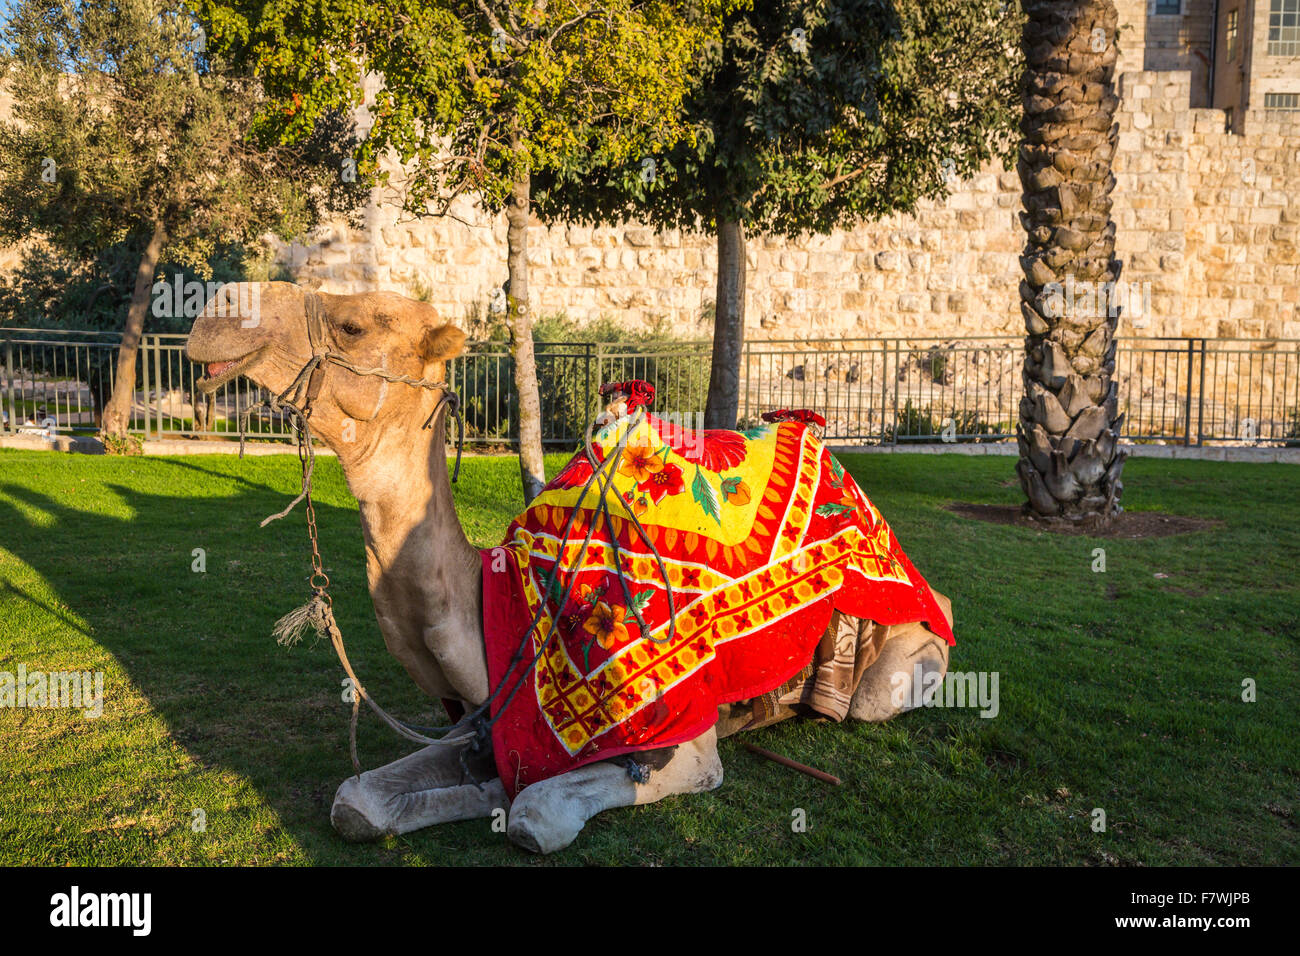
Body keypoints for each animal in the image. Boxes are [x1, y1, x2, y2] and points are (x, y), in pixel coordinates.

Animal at [185, 282, 954, 854]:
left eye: (349, 325)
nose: (216, 308)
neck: (504, 606)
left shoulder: (686, 742)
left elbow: (534, 815)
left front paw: (501, 797)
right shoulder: (481, 721)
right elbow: (356, 802)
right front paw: (474, 789)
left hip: (901, 657)